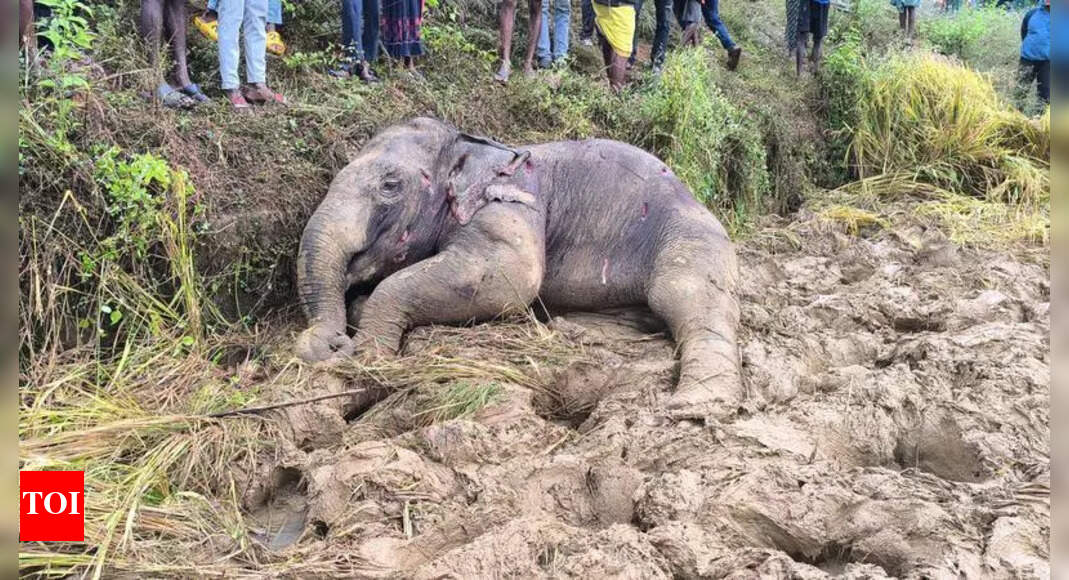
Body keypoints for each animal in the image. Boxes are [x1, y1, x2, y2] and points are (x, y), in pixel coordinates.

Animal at [296, 117, 742, 418]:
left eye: (390, 185)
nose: (332, 343)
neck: (469, 144)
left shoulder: (512, 202)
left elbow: (511, 277)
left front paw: (367, 353)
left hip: (694, 236)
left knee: (688, 298)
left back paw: (697, 404)